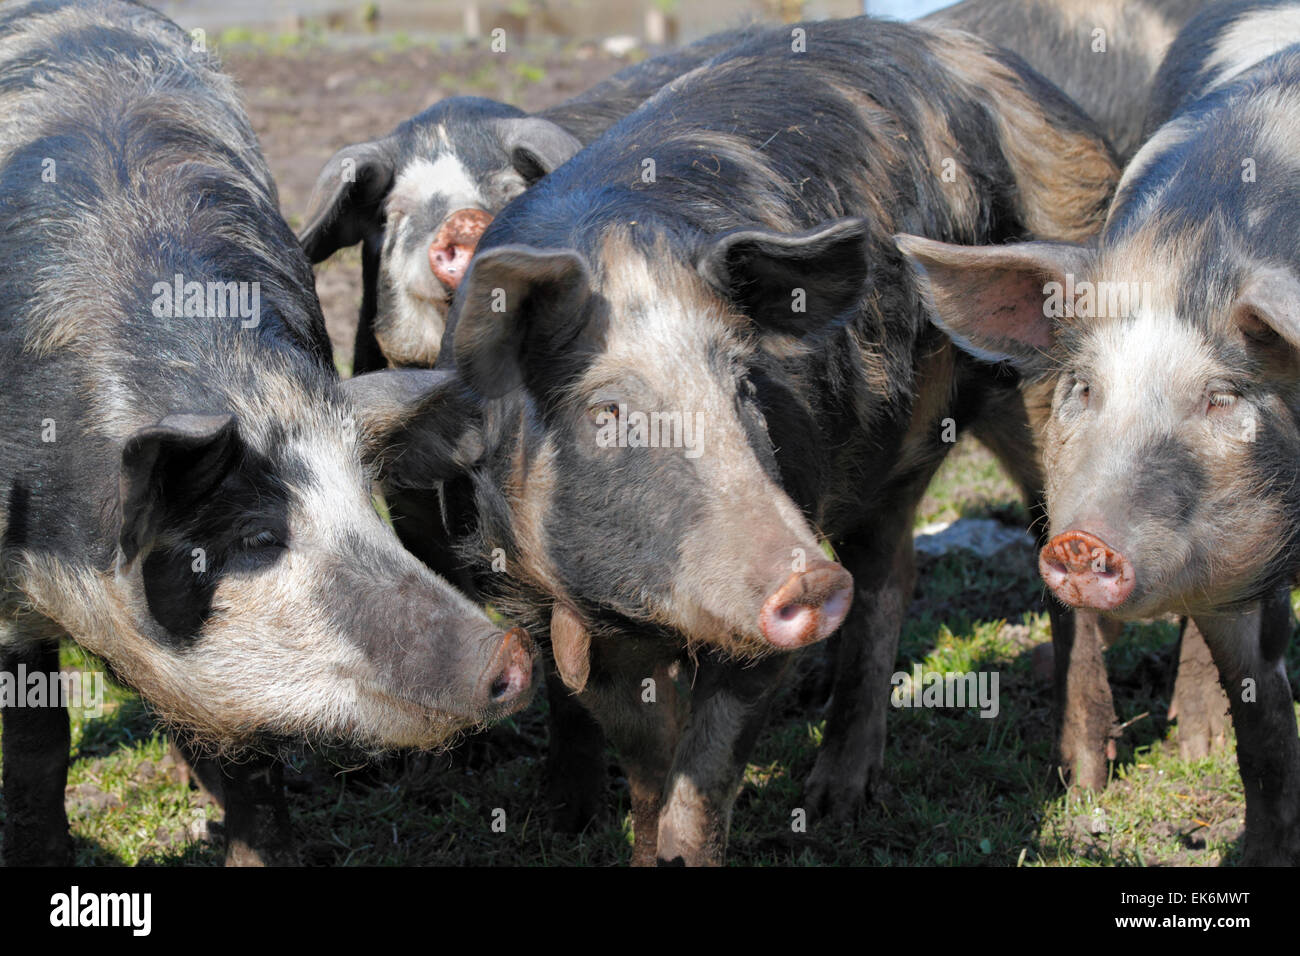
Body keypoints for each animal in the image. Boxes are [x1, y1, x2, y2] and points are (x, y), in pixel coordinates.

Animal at [378, 16, 1118, 864]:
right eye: (608, 412)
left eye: (741, 387)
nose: (810, 579)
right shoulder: (563, 618)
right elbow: (647, 771)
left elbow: (702, 776)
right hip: (888, 459)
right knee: (889, 576)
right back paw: (835, 805)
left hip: (1043, 371)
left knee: (1060, 563)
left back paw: (1081, 781)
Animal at [896, 1, 1300, 863]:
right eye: (1084, 388)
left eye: (1223, 396)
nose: (1083, 543)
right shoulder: (1240, 566)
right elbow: (1264, 723)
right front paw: (1254, 852)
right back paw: (1187, 745)